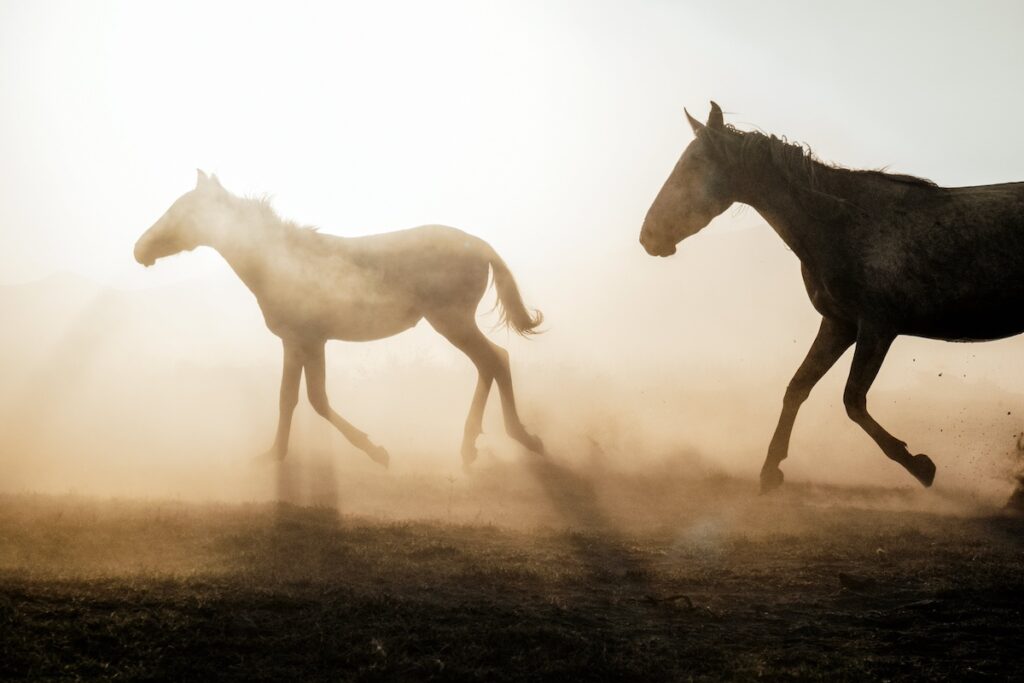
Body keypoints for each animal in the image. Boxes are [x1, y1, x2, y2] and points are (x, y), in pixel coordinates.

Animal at [134, 170, 545, 468]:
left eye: (182, 211)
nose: (139, 249)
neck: (279, 260)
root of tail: (480, 246)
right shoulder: (298, 342)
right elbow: (291, 398)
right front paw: (275, 454)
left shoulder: (307, 340)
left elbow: (312, 400)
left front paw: (375, 451)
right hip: (454, 323)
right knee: (491, 363)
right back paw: (475, 444)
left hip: (452, 321)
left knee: (494, 361)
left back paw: (519, 439)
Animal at [641, 102, 1024, 497]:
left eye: (692, 166)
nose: (648, 236)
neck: (842, 223)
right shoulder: (839, 325)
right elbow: (797, 387)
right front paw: (770, 470)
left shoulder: (876, 328)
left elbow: (852, 401)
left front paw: (920, 465)